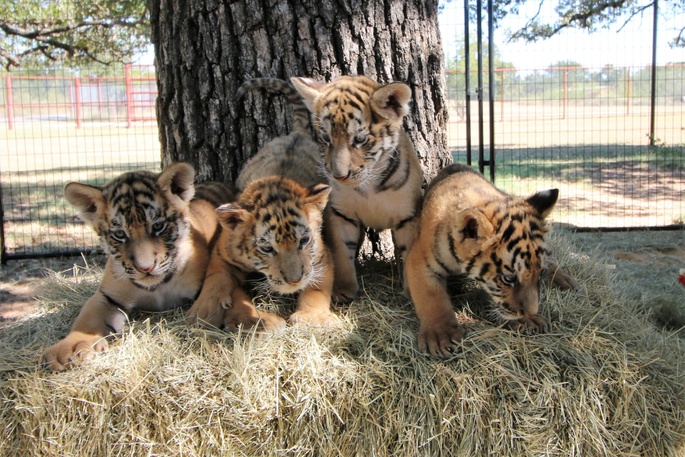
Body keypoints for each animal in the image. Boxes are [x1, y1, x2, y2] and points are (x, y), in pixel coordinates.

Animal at [42, 162, 235, 371]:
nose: (146, 268)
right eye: (119, 234)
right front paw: (68, 348)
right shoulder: (108, 296)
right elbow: (86, 317)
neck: (157, 287)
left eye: (158, 226)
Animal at [185, 78, 337, 327]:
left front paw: (312, 317)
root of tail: (296, 133)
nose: (294, 280)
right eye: (267, 248)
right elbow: (215, 278)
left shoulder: (322, 254)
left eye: (304, 240)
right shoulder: (222, 253)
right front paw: (202, 311)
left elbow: (317, 286)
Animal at [291, 75, 424, 303]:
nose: (338, 175)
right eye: (326, 138)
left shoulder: (407, 217)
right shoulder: (340, 214)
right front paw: (343, 290)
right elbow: (342, 253)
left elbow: (408, 253)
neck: (369, 186)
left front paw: (411, 292)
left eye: (360, 139)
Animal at [405, 164, 577, 358]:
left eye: (539, 274)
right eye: (509, 279)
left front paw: (525, 320)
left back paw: (565, 280)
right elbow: (431, 297)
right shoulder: (420, 260)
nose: (530, 313)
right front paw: (441, 335)